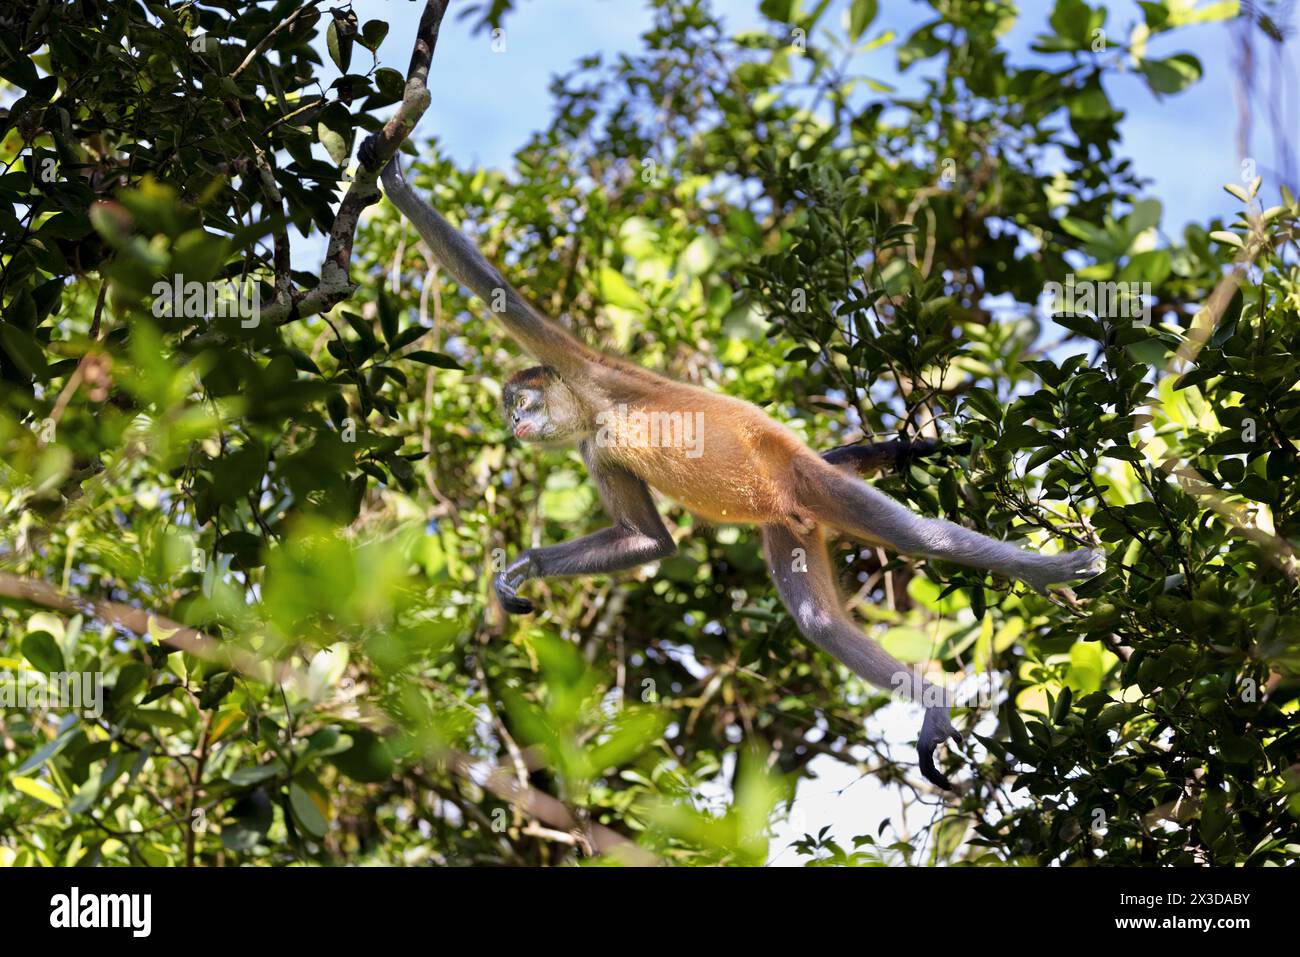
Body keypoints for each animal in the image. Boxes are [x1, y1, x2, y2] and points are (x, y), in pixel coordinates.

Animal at [360, 138, 1104, 790]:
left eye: (523, 399)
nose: (515, 422)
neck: (599, 415)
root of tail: (793, 475)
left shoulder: (591, 372)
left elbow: (500, 294)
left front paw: (390, 175)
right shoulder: (595, 448)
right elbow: (648, 541)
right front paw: (526, 567)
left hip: (805, 480)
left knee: (918, 536)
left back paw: (1047, 573)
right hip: (791, 524)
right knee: (820, 623)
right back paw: (930, 704)